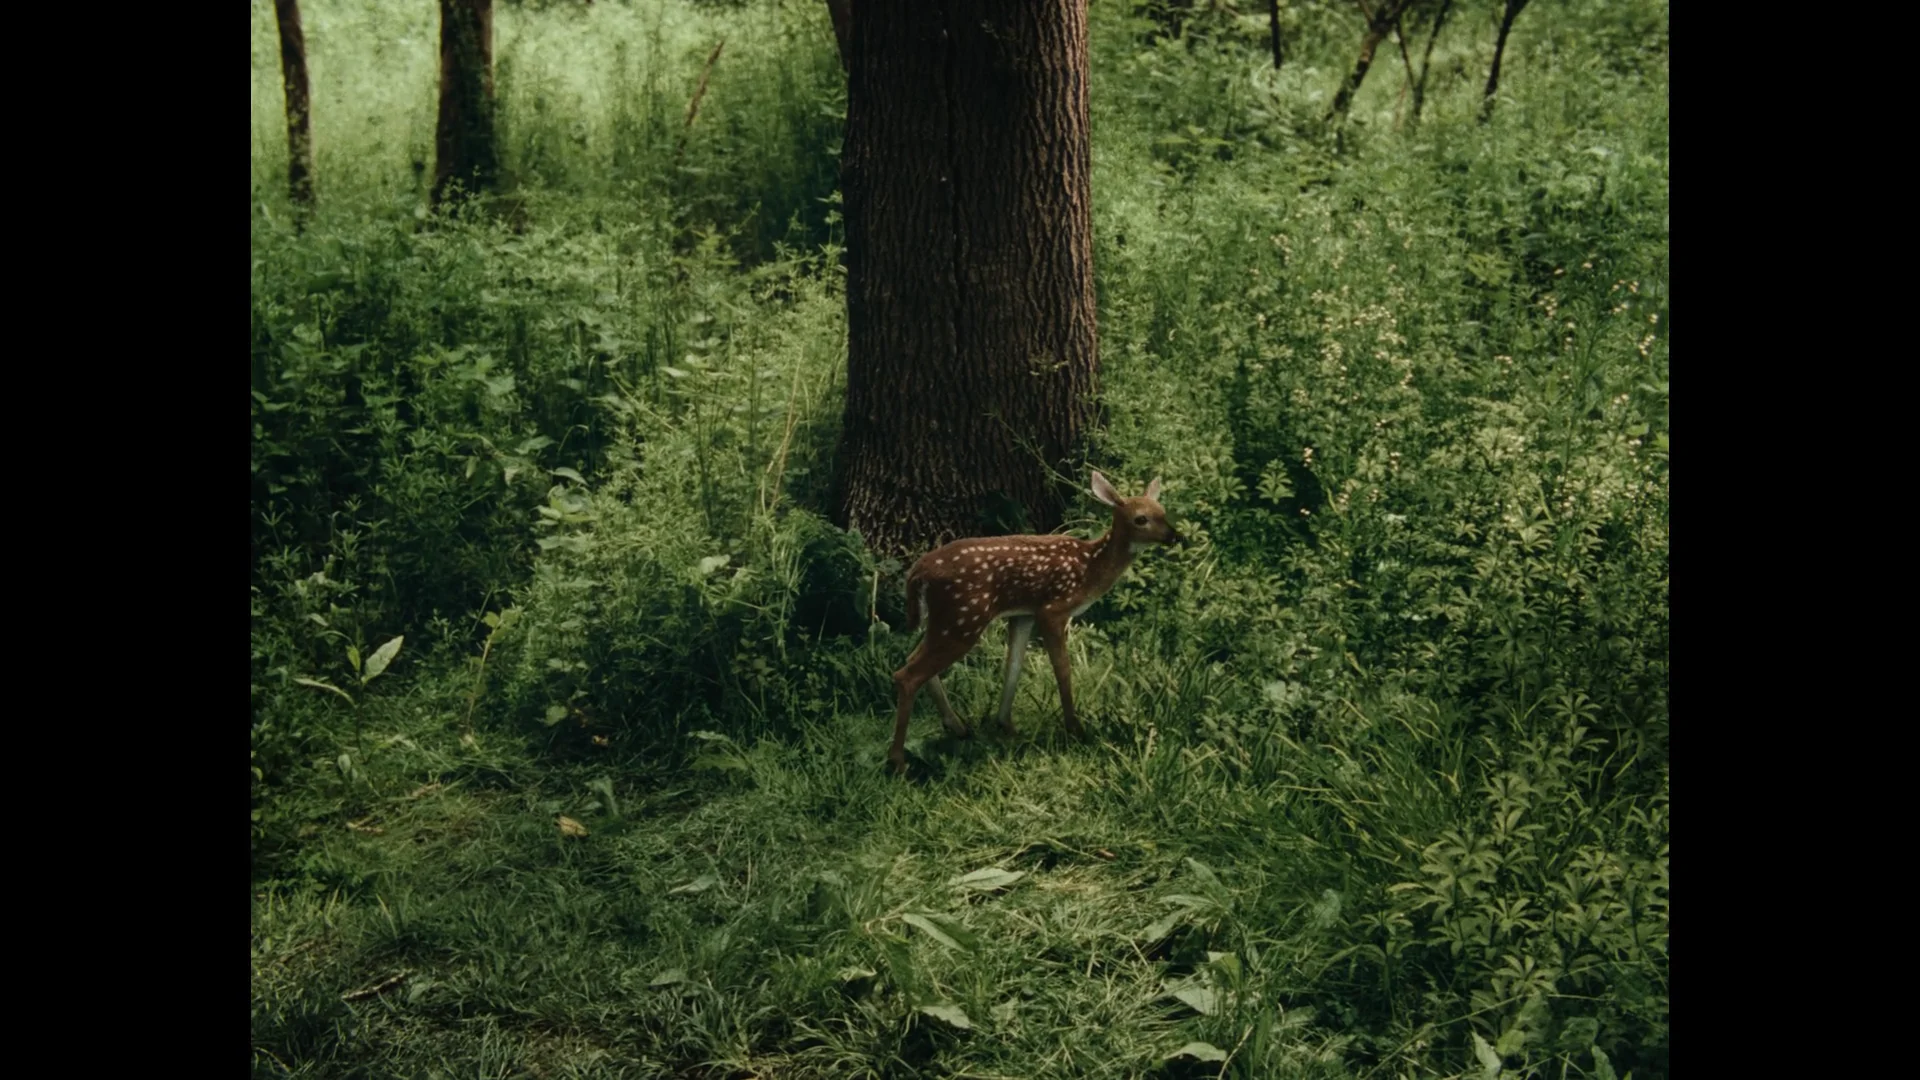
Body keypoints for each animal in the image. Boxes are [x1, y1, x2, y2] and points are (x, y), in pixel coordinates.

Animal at [887, 470, 1183, 773]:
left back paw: (958, 727)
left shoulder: (1024, 614)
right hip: (964, 616)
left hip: (947, 619)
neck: (1089, 570)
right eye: (1141, 519)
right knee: (906, 674)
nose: (1175, 535)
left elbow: (1014, 666)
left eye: (1163, 512)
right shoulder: (1053, 609)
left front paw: (1006, 725)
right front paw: (1075, 729)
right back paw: (898, 760)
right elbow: (1062, 669)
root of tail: (918, 572)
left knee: (913, 658)